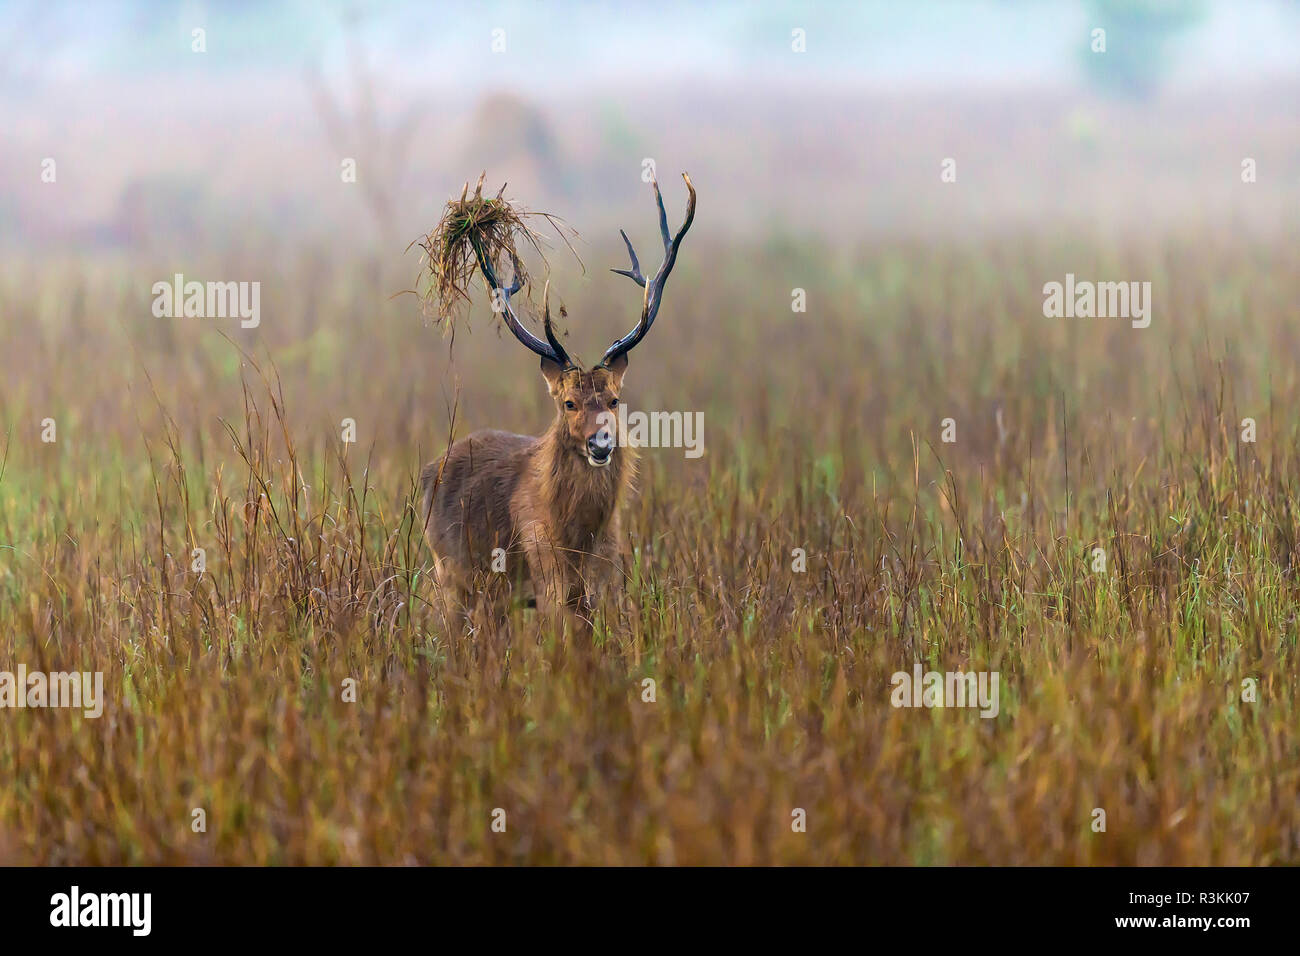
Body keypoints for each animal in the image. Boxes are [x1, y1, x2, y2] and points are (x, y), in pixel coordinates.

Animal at [421, 173, 696, 629]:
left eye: (614, 399)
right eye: (568, 403)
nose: (600, 443)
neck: (580, 537)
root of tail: (429, 471)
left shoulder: (607, 573)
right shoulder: (545, 568)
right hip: (449, 572)